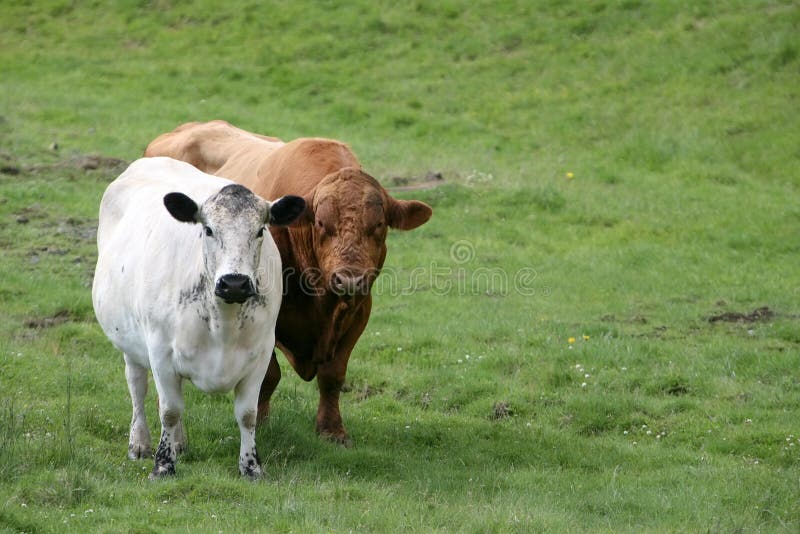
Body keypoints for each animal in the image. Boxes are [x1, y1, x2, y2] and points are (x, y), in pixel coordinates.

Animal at [92, 157, 305, 478]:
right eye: (208, 229)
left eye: (260, 230)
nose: (234, 282)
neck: (223, 324)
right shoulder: (160, 351)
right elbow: (169, 411)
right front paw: (163, 465)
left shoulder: (261, 354)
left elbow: (248, 414)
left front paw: (251, 467)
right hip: (130, 344)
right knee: (138, 388)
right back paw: (139, 442)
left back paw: (179, 443)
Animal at [145, 121, 433, 446]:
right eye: (321, 223)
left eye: (379, 224)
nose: (350, 278)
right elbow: (268, 376)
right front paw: (260, 422)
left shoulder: (359, 312)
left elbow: (333, 376)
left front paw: (332, 429)